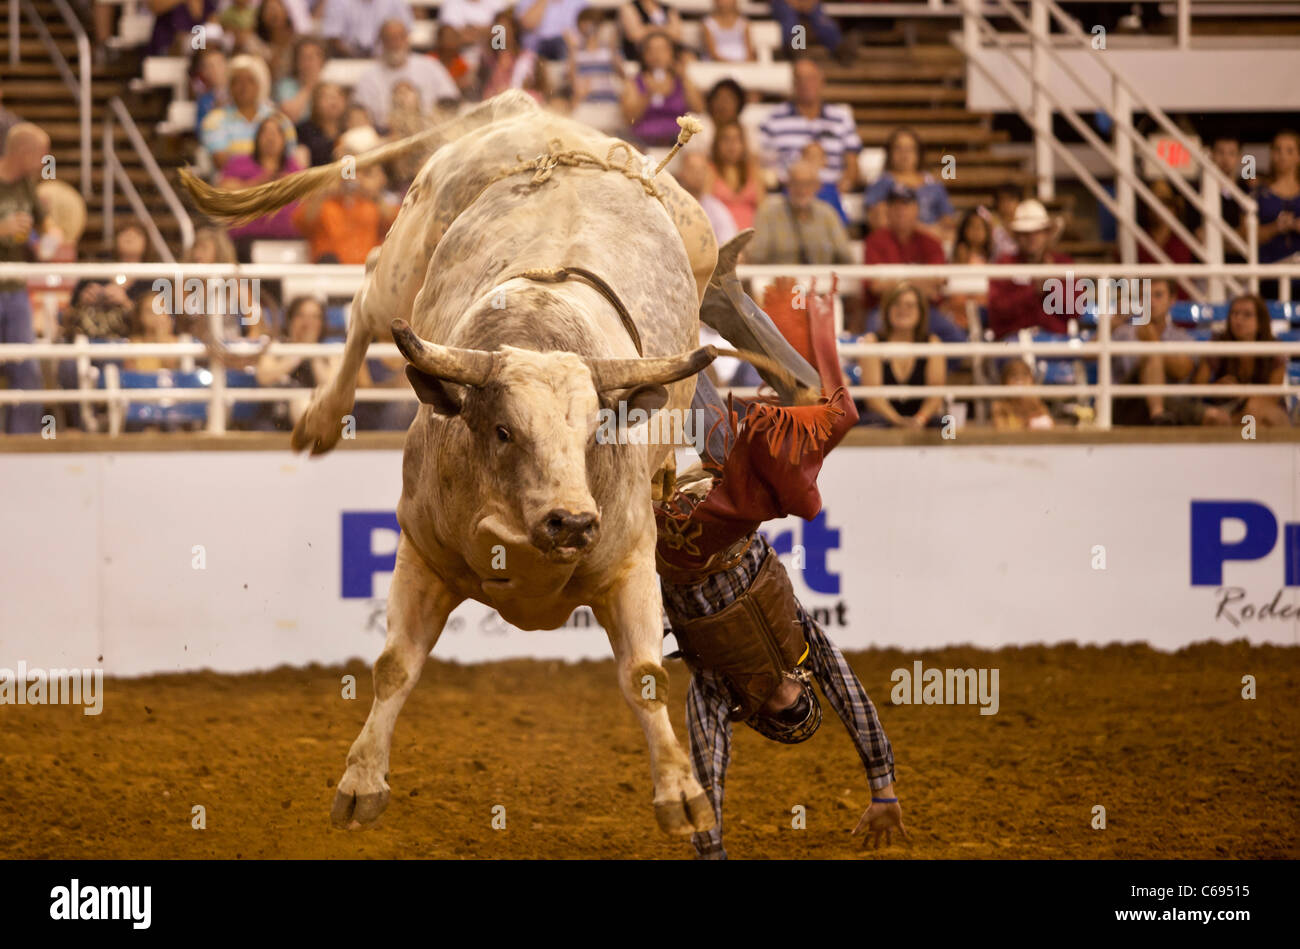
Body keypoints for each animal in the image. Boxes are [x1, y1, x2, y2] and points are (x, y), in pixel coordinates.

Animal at [181, 91, 733, 835]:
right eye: (502, 430)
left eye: (596, 429)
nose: (571, 522)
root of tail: (539, 117)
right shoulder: (422, 548)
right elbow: (395, 666)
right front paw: (361, 781)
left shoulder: (626, 560)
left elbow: (645, 677)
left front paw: (682, 793)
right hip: (409, 249)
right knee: (367, 298)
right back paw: (322, 418)